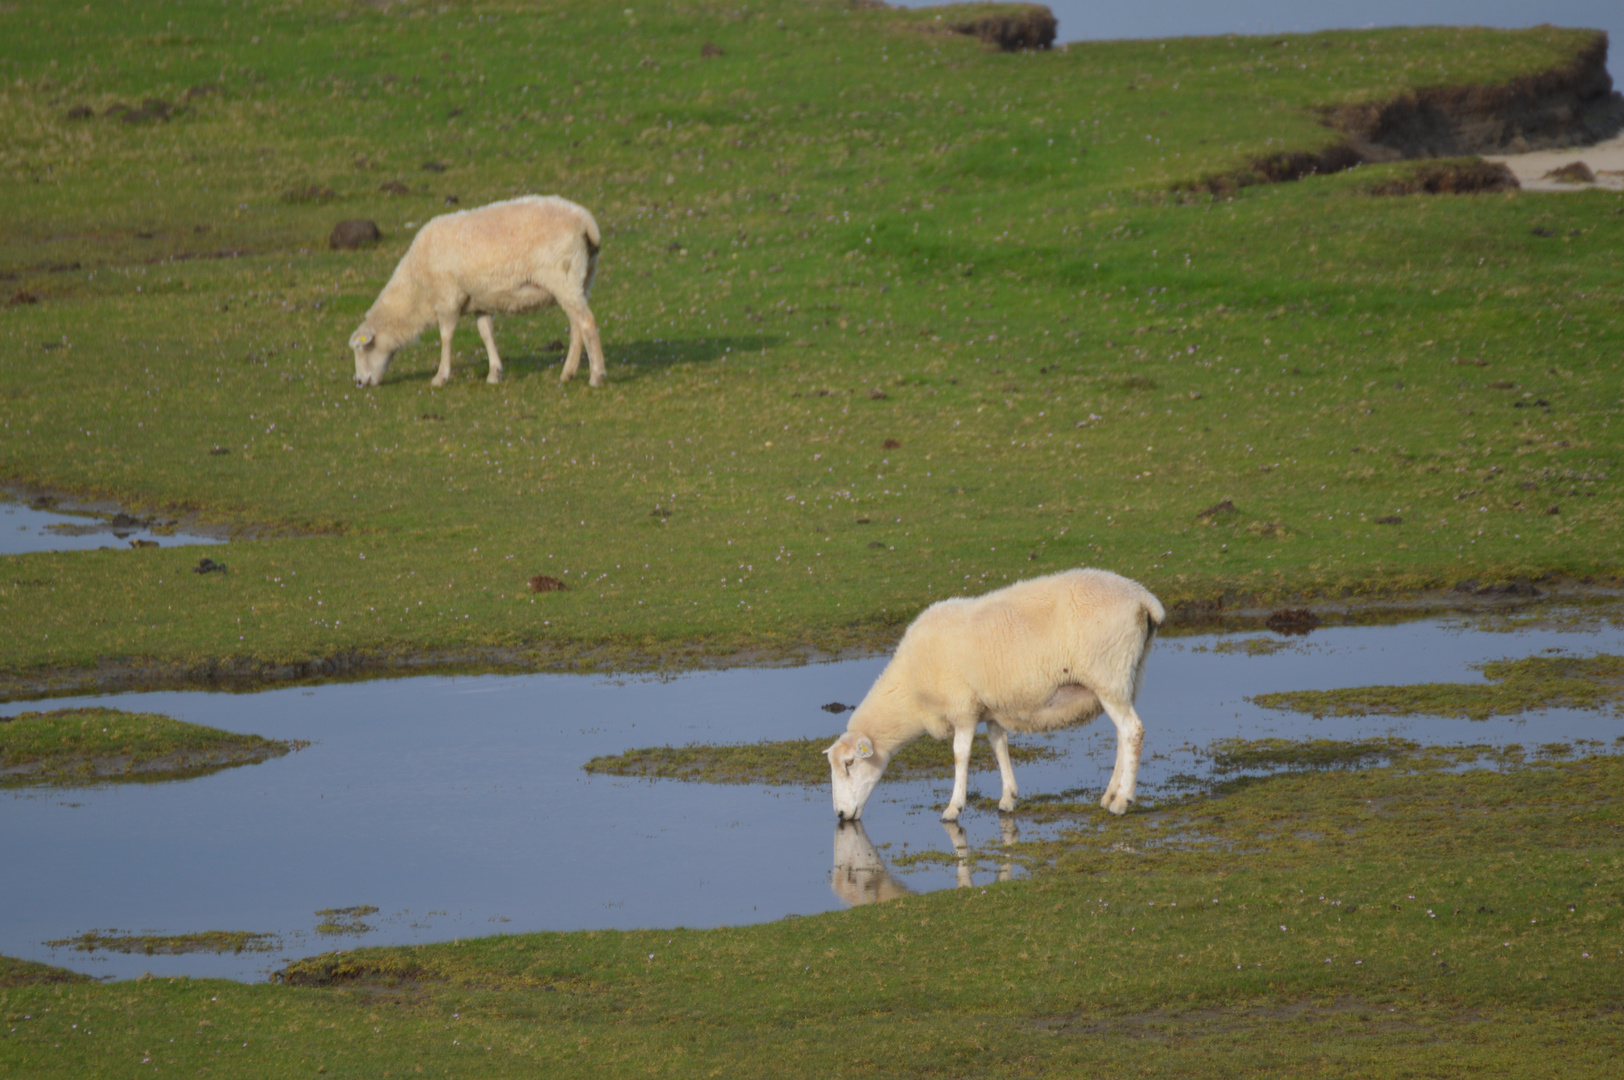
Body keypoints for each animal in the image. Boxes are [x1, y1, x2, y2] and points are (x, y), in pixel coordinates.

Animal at [350, 195, 610, 389]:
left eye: (363, 348)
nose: (360, 382)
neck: (416, 289)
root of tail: (585, 221)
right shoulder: (480, 301)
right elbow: (486, 334)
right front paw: (494, 373)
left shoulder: (447, 298)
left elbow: (446, 336)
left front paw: (440, 376)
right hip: (583, 278)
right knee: (577, 326)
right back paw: (568, 373)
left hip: (562, 277)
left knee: (586, 322)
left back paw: (596, 375)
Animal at [831, 568, 1162, 821]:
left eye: (849, 764)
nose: (841, 815)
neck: (911, 690)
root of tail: (1142, 597)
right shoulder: (989, 708)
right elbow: (998, 745)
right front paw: (1007, 798)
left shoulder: (963, 709)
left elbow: (960, 754)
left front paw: (954, 807)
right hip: (1128, 675)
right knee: (1123, 734)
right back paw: (1110, 795)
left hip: (1108, 673)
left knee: (1132, 730)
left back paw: (1122, 802)